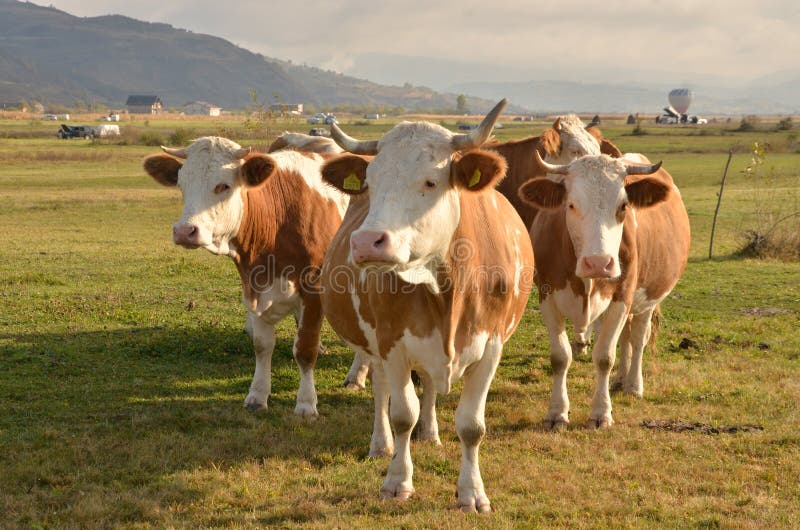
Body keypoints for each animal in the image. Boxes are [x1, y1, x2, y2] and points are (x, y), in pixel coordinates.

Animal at [143, 136, 348, 418]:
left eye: (223, 186)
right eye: (181, 185)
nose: (184, 231)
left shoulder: (313, 290)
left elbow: (305, 349)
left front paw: (306, 403)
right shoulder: (254, 287)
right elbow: (262, 345)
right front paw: (257, 395)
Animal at [319, 99, 535, 512]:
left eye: (431, 181)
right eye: (370, 182)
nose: (367, 242)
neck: (445, 288)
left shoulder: (492, 345)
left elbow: (471, 425)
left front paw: (472, 493)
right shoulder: (391, 342)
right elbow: (402, 412)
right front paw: (397, 482)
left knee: (432, 386)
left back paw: (430, 433)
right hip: (375, 342)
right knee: (382, 390)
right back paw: (381, 444)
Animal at [517, 152, 690, 429]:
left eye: (623, 206)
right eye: (571, 205)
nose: (598, 263)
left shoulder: (622, 297)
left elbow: (604, 356)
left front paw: (601, 413)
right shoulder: (547, 296)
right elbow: (560, 357)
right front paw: (557, 413)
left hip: (647, 300)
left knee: (638, 339)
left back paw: (633, 385)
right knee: (625, 338)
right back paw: (620, 379)